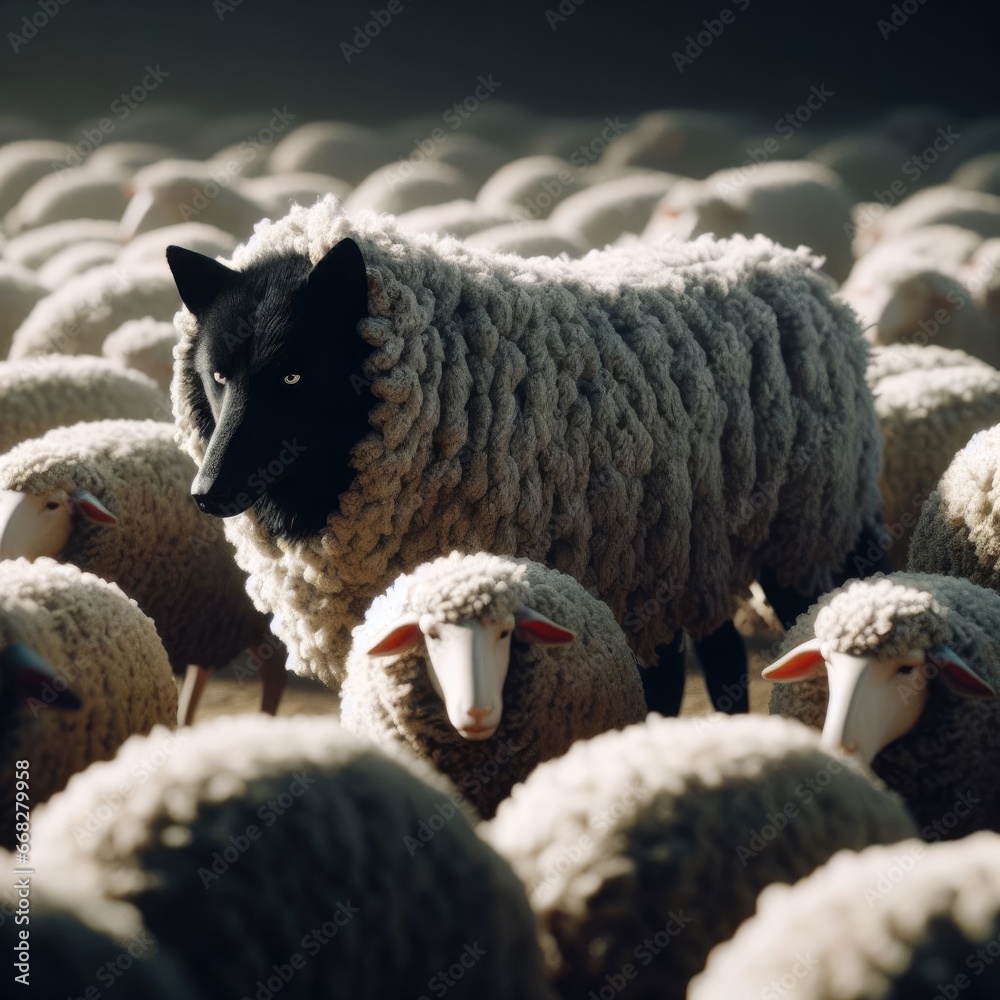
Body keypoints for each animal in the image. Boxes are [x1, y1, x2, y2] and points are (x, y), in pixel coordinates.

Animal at [167, 195, 884, 717]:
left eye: (294, 375)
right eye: (218, 375)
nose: (205, 494)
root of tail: (793, 263)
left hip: (811, 536)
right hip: (692, 554)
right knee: (725, 658)